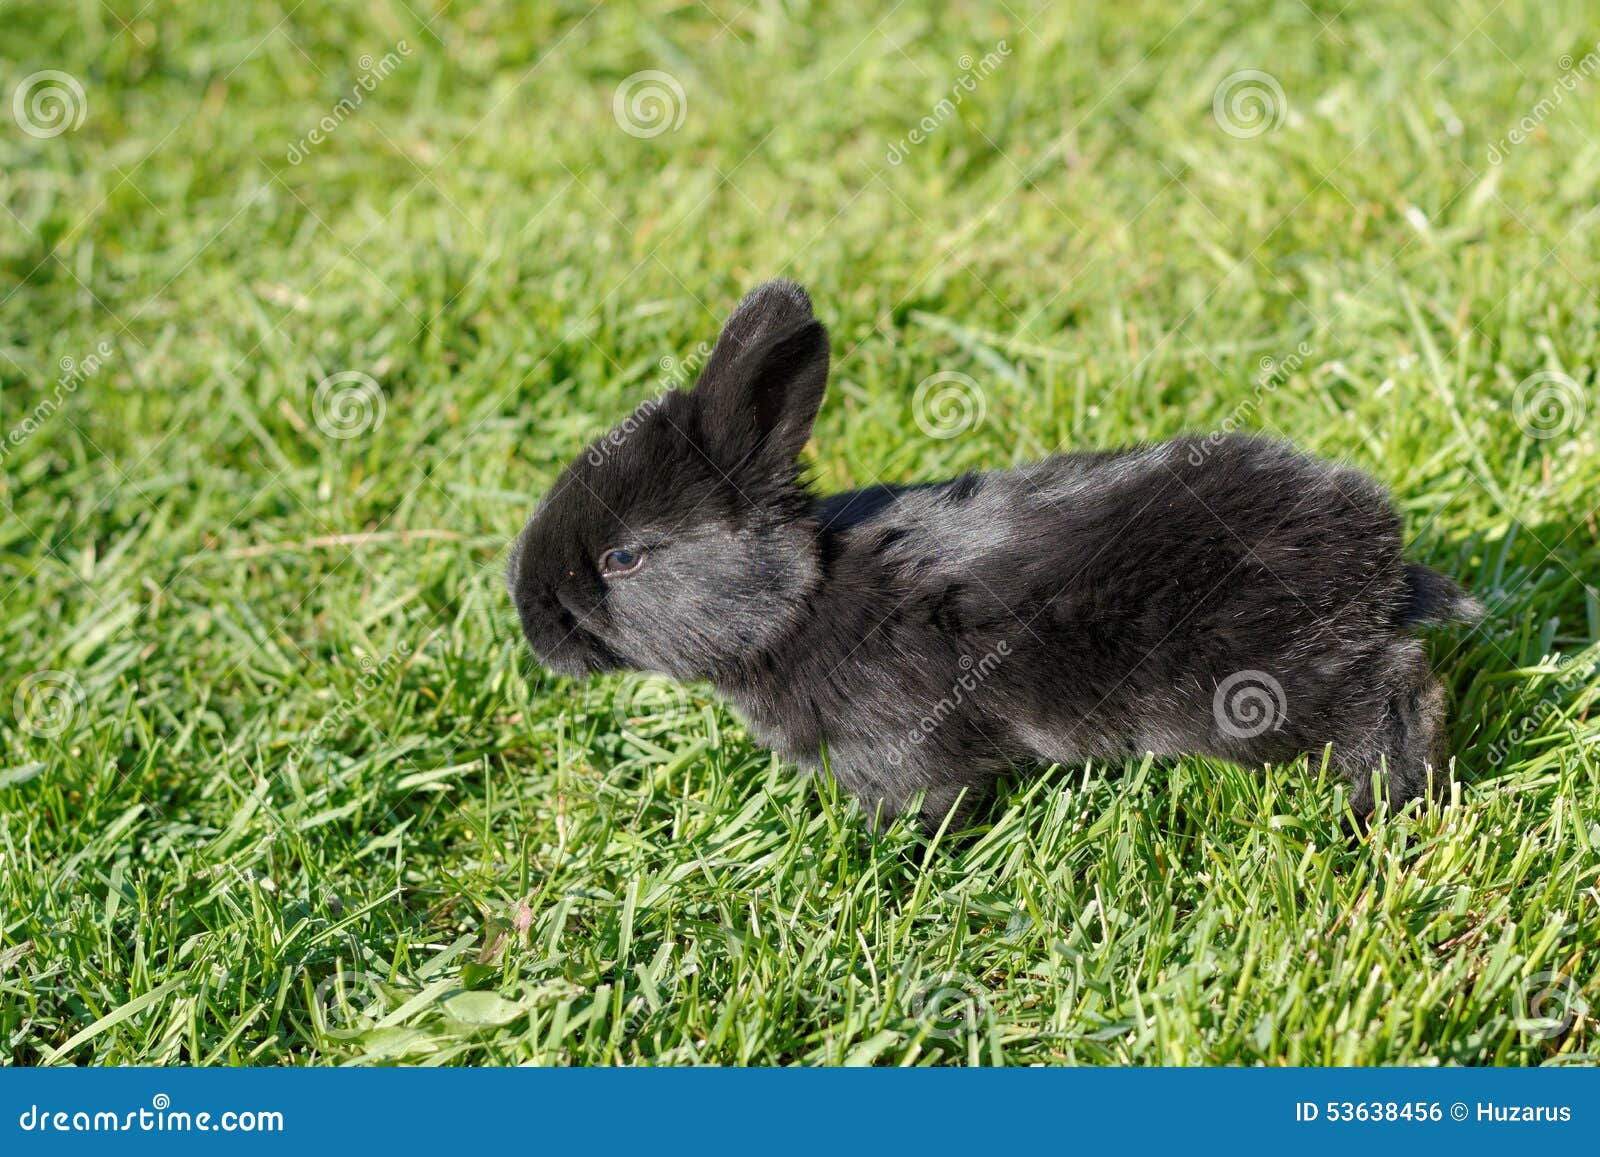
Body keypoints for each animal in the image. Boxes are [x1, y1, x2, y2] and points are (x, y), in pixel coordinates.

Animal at [508, 280, 1482, 834]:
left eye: (622, 558)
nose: (528, 616)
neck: (795, 600)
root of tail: (1379, 549)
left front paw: (886, 854)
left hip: (1266, 681)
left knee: (1402, 689)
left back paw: (1381, 813)